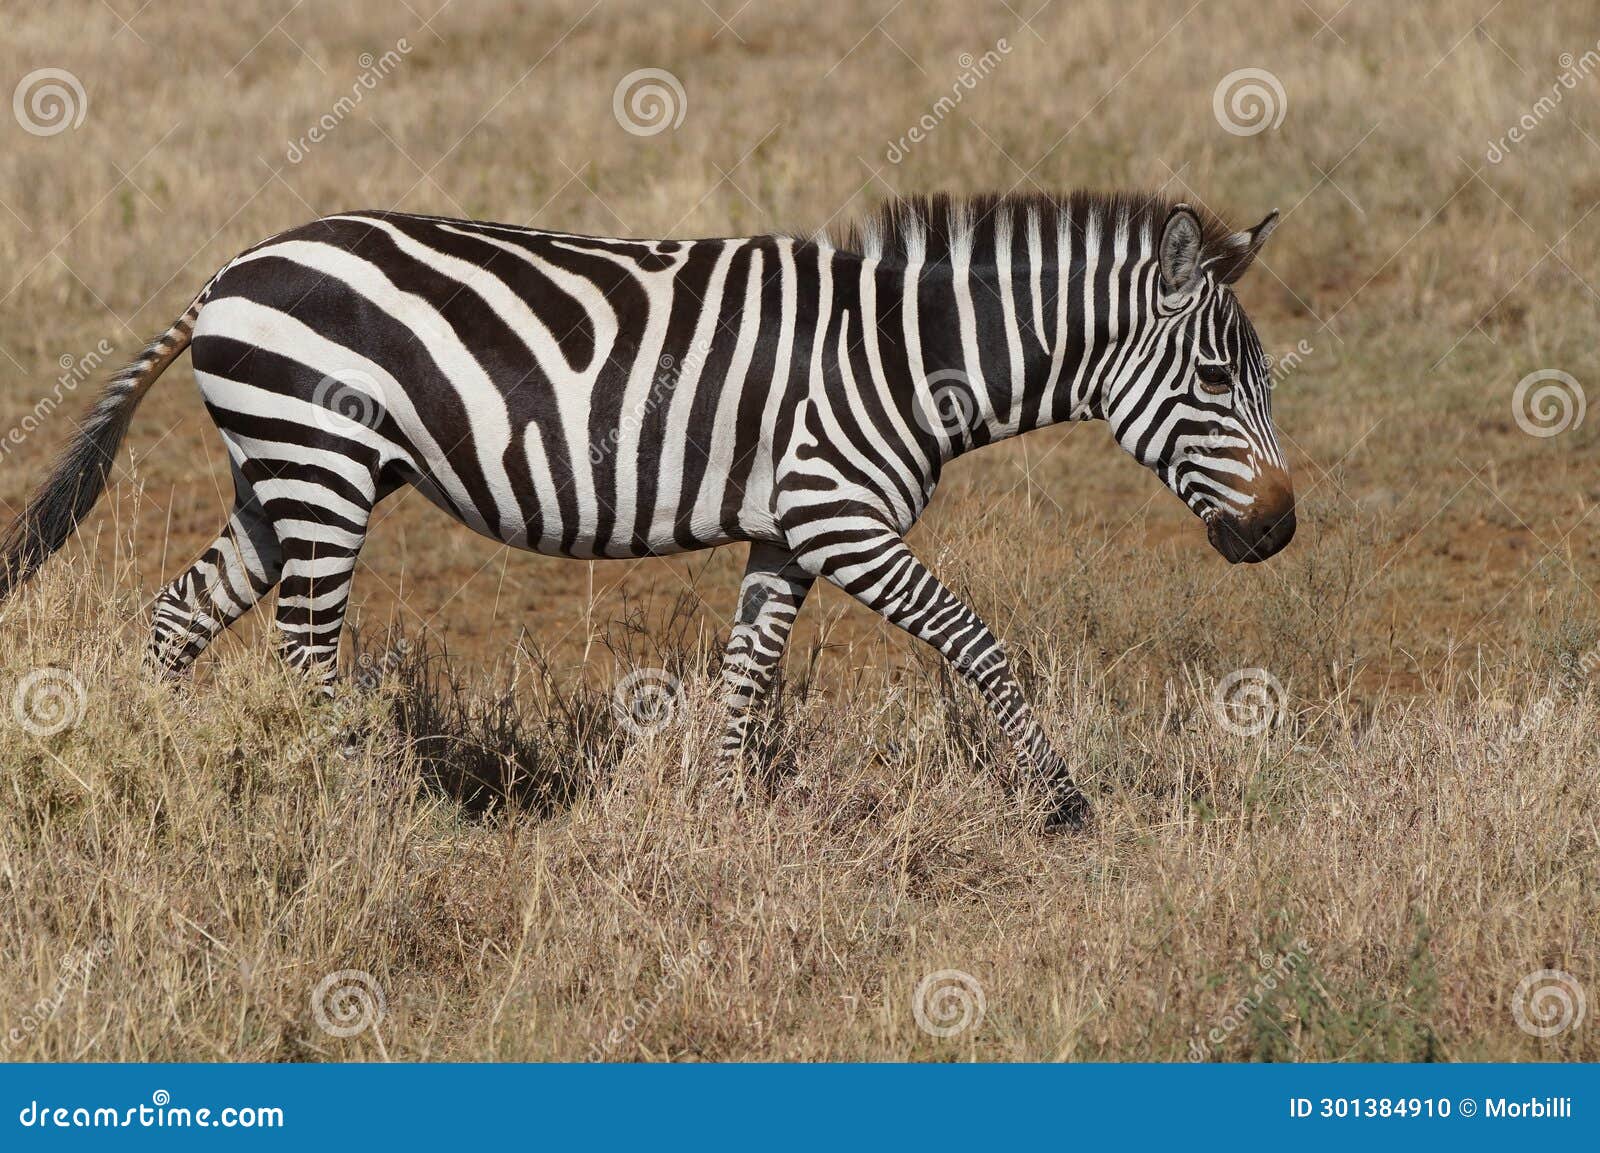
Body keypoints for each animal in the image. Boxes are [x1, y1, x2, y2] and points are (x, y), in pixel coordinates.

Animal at [0, 191, 1293, 831]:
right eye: (1217, 379)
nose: (1280, 530)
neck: (903, 356)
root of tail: (230, 271)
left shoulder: (789, 528)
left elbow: (747, 671)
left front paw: (719, 818)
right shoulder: (842, 515)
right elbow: (976, 640)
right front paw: (1067, 803)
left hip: (283, 474)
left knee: (180, 617)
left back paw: (181, 781)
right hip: (319, 466)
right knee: (305, 652)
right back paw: (358, 812)